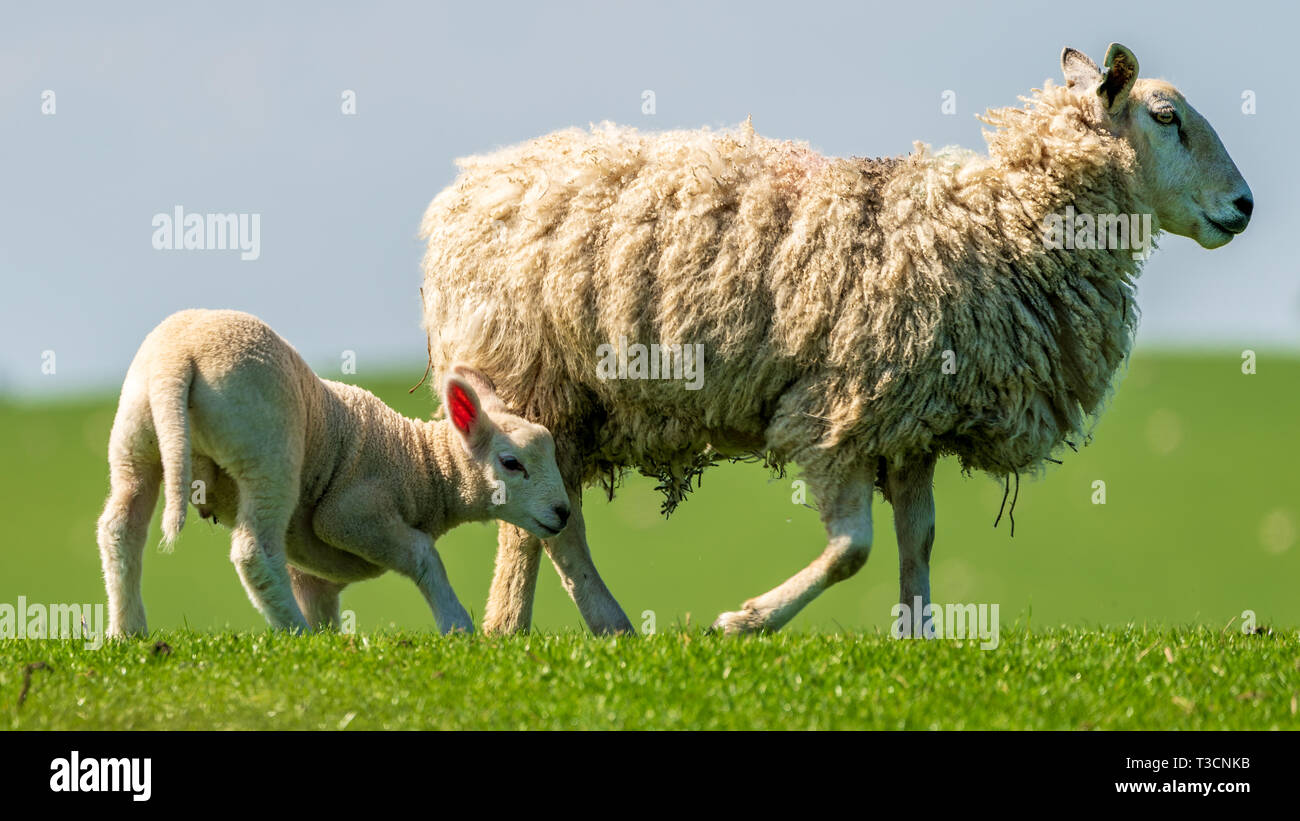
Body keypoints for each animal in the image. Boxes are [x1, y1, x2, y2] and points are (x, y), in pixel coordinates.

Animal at [95, 309, 571, 637]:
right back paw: (296, 634)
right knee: (253, 551)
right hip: (268, 455)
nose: (563, 512)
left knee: (120, 528)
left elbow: (318, 597)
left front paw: (330, 640)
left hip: (134, 440)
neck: (419, 465)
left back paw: (128, 631)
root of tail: (178, 359)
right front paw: (458, 628)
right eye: (511, 463)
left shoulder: (317, 572)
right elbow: (422, 554)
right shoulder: (351, 515)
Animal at [418, 43, 1253, 635]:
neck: (1002, 227)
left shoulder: (912, 420)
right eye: (1166, 116)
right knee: (543, 525)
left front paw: (918, 640)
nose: (1244, 205)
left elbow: (920, 539)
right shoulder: (835, 408)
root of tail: (466, 189)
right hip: (533, 377)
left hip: (566, 397)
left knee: (547, 520)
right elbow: (853, 548)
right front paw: (742, 621)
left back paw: (540, 627)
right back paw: (565, 626)